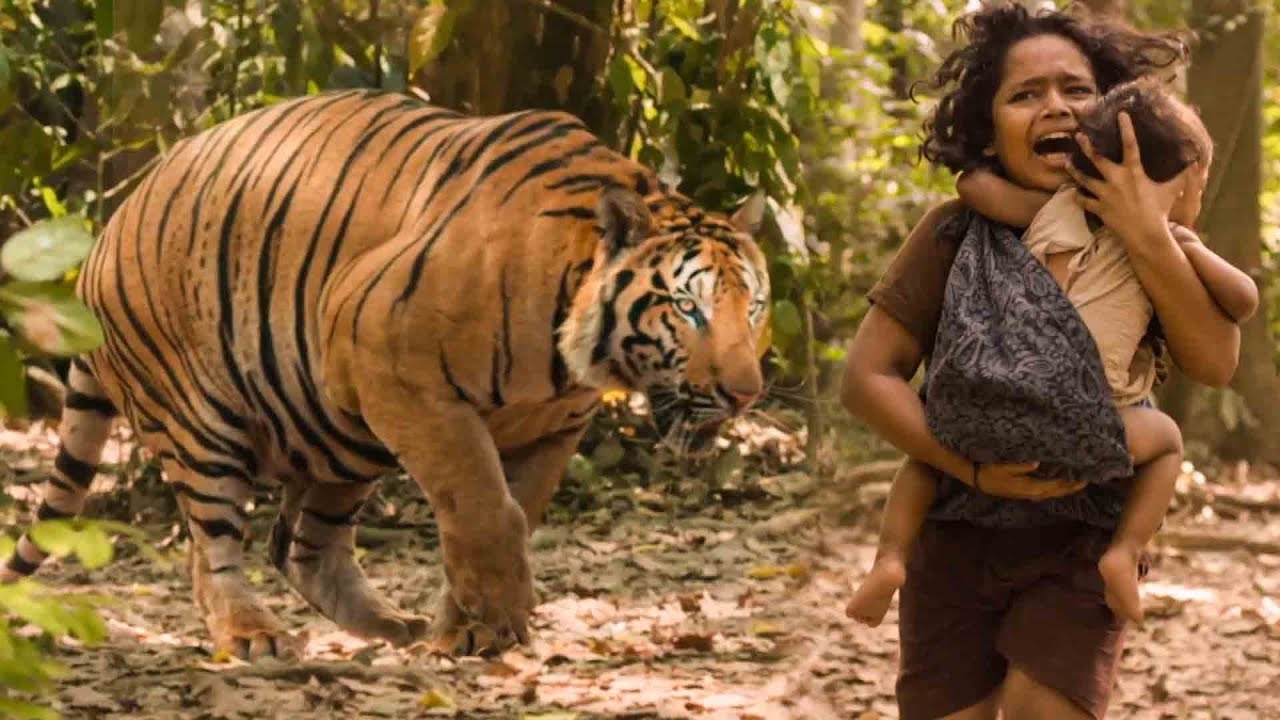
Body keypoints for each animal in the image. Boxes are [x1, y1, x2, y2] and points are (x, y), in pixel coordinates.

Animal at [2, 89, 771, 659]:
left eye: (755, 307)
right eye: (690, 309)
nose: (745, 393)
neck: (563, 356)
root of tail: (105, 234)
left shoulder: (549, 432)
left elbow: (514, 511)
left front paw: (467, 628)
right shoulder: (395, 368)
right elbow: (483, 506)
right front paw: (493, 619)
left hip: (341, 435)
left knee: (303, 548)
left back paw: (393, 626)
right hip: (203, 420)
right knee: (212, 544)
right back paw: (252, 635)